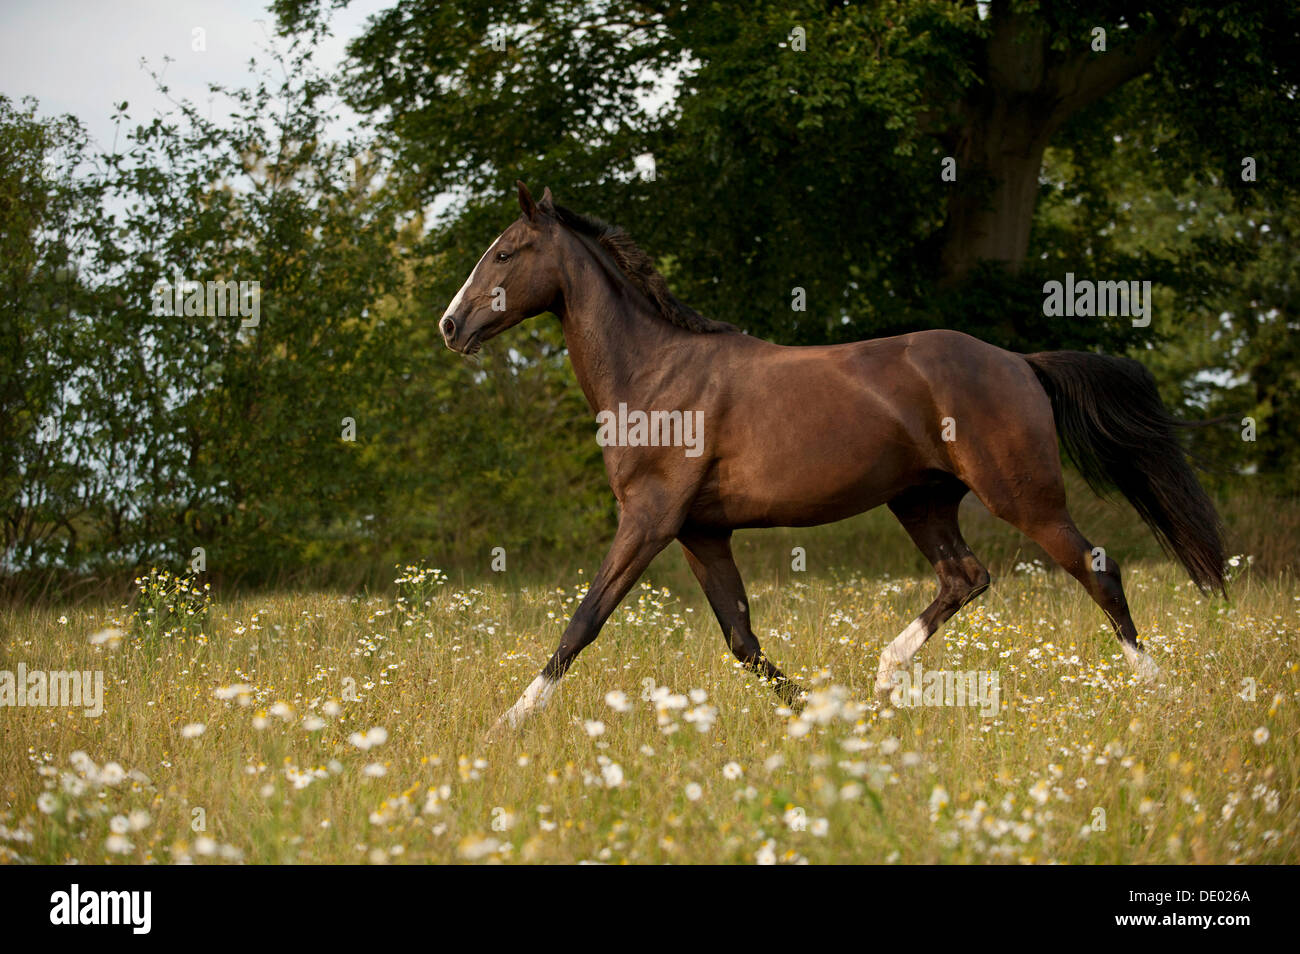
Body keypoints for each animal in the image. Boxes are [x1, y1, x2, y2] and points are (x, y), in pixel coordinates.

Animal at [440, 182, 1226, 733]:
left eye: (504, 252)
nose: (451, 325)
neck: (655, 373)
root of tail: (1020, 363)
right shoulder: (700, 533)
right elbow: (742, 640)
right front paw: (823, 717)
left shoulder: (648, 521)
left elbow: (582, 624)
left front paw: (503, 726)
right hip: (921, 499)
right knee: (966, 577)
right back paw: (881, 680)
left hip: (1024, 496)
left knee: (1098, 571)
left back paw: (1161, 693)